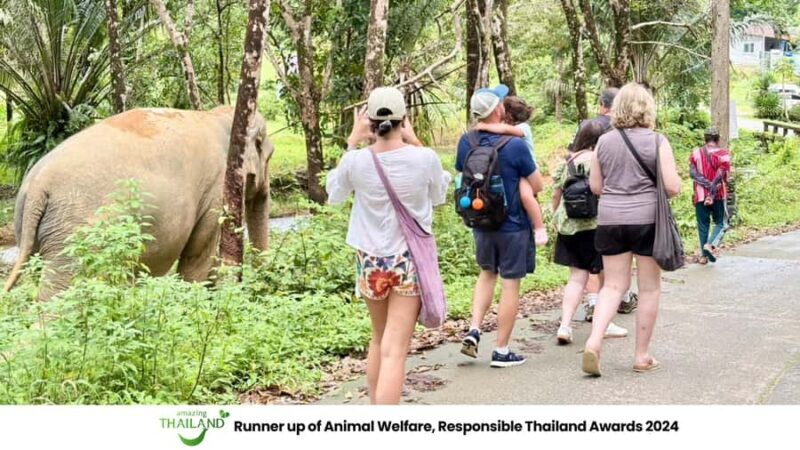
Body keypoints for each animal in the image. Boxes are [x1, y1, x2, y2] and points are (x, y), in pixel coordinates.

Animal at [4, 106, 274, 299]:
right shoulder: (215, 188)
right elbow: (199, 256)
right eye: (269, 157)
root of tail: (37, 187)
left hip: (31, 229)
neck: (219, 114)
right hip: (75, 234)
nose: (261, 289)